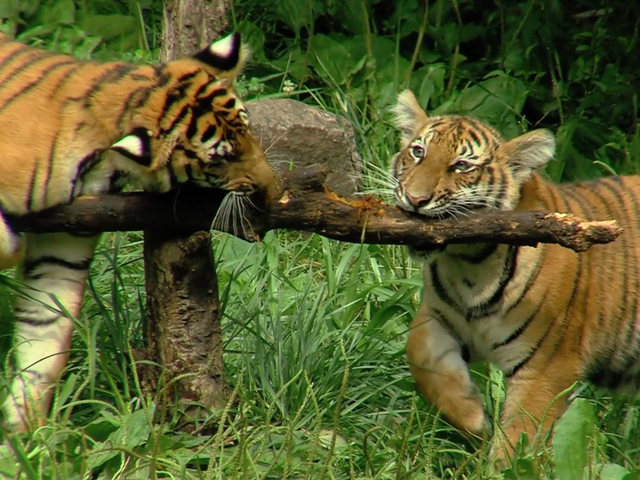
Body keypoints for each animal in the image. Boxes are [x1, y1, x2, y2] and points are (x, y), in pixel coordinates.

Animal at [0, 32, 275, 433]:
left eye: (248, 130)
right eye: (220, 159)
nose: (273, 188)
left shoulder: (61, 247)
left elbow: (43, 343)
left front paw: (22, 434)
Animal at [389, 89, 640, 465]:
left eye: (461, 166)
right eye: (418, 152)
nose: (415, 200)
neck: (468, 265)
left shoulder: (546, 367)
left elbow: (520, 438)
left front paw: (498, 464)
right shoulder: (436, 316)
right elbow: (419, 355)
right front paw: (473, 418)